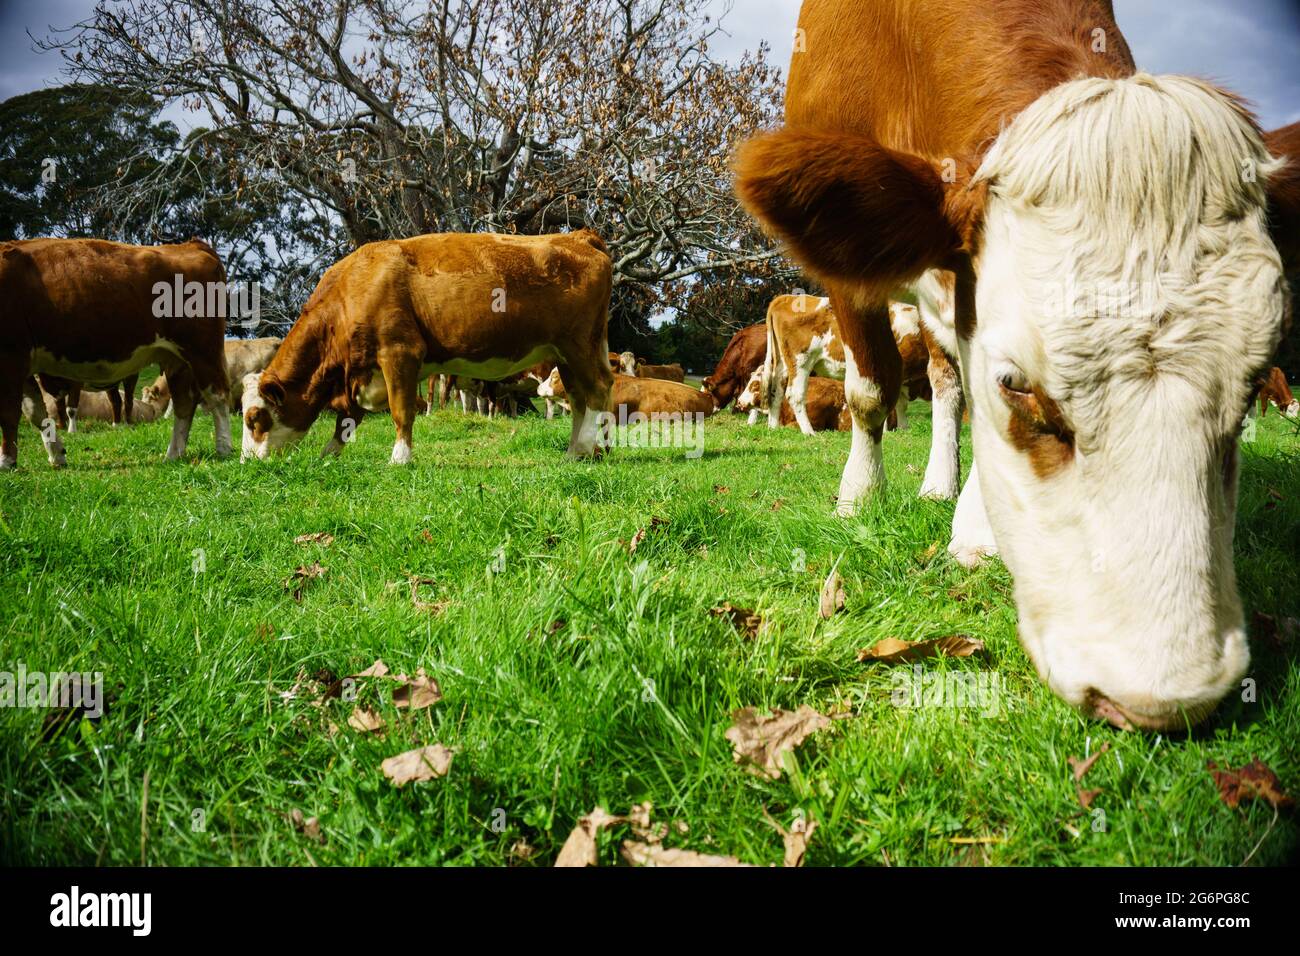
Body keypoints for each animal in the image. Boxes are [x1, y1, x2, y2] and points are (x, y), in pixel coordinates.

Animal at [0, 237, 231, 469]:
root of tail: (191, 245)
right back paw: (173, 454)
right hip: (176, 359)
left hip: (203, 351)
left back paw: (223, 448)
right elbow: (35, 413)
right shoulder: (22, 366)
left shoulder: (11, 356)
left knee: (218, 396)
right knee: (184, 404)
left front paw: (6, 461)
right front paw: (56, 454)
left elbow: (9, 414)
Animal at [241, 231, 613, 463]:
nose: (247, 463)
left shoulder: (399, 352)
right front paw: (327, 456)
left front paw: (400, 458)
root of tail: (578, 236)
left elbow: (401, 411)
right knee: (581, 397)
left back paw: (583, 446)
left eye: (254, 418)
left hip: (579, 344)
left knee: (596, 390)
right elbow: (346, 420)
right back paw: (581, 450)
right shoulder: (360, 371)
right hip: (567, 353)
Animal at [735, 0, 1299, 729]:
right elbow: (870, 391)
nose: (1161, 700)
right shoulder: (853, 276)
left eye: (1254, 384)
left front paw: (974, 524)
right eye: (1018, 386)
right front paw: (858, 496)